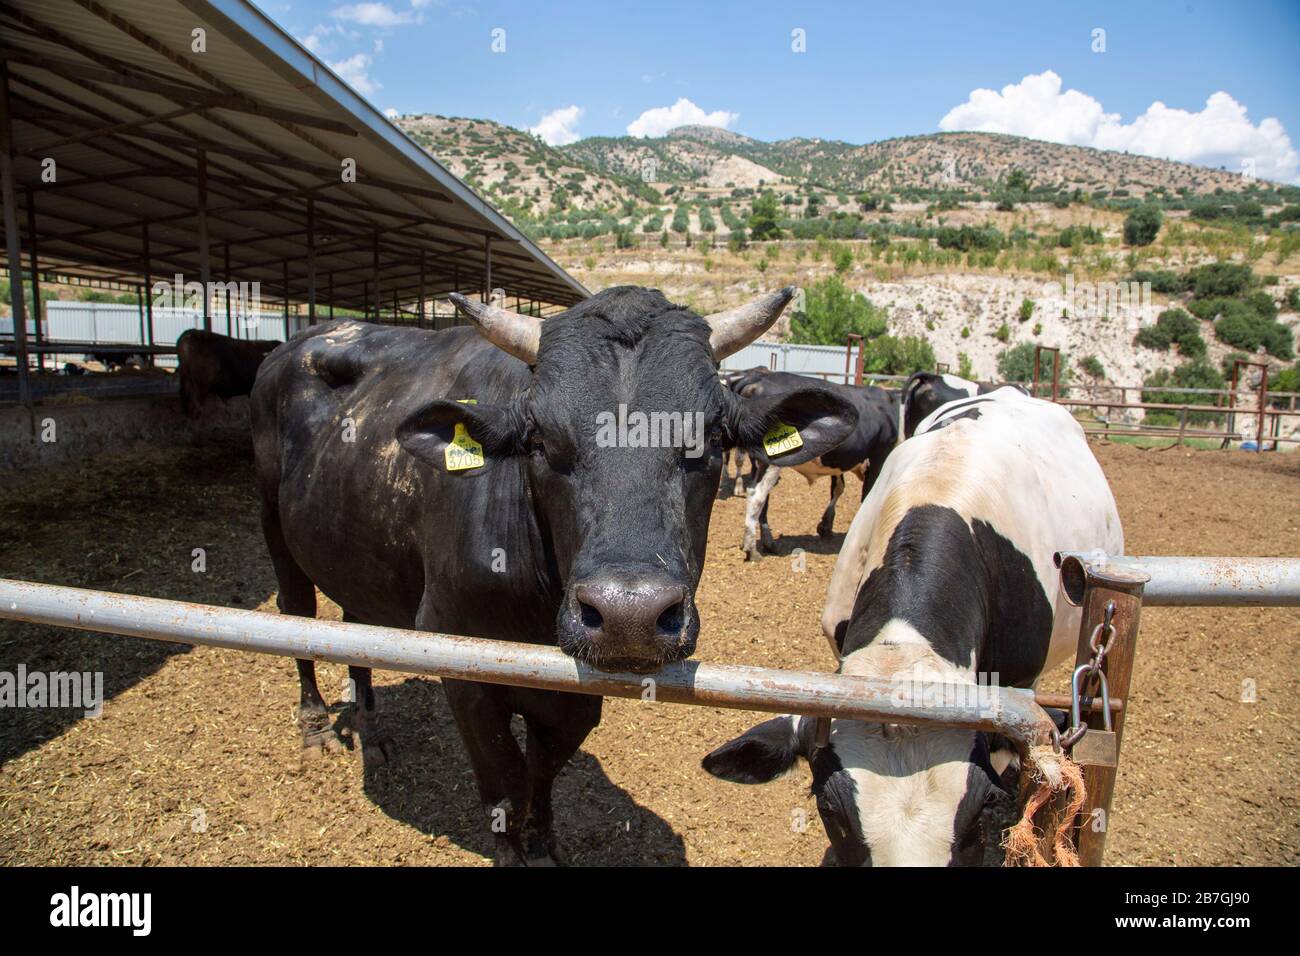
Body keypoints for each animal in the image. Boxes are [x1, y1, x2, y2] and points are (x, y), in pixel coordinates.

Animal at [250, 285, 859, 865]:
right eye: (540, 441)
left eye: (709, 439)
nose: (629, 615)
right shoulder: (459, 664)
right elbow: (505, 782)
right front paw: (512, 851)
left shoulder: (576, 696)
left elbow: (541, 773)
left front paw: (543, 842)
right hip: (273, 522)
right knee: (297, 614)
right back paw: (316, 727)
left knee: (356, 630)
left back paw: (371, 731)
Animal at [729, 369, 901, 560]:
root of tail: (759, 378)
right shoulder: (878, 458)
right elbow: (866, 498)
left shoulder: (839, 461)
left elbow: (838, 488)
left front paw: (826, 526)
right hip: (772, 460)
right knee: (757, 495)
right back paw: (752, 548)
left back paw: (765, 542)